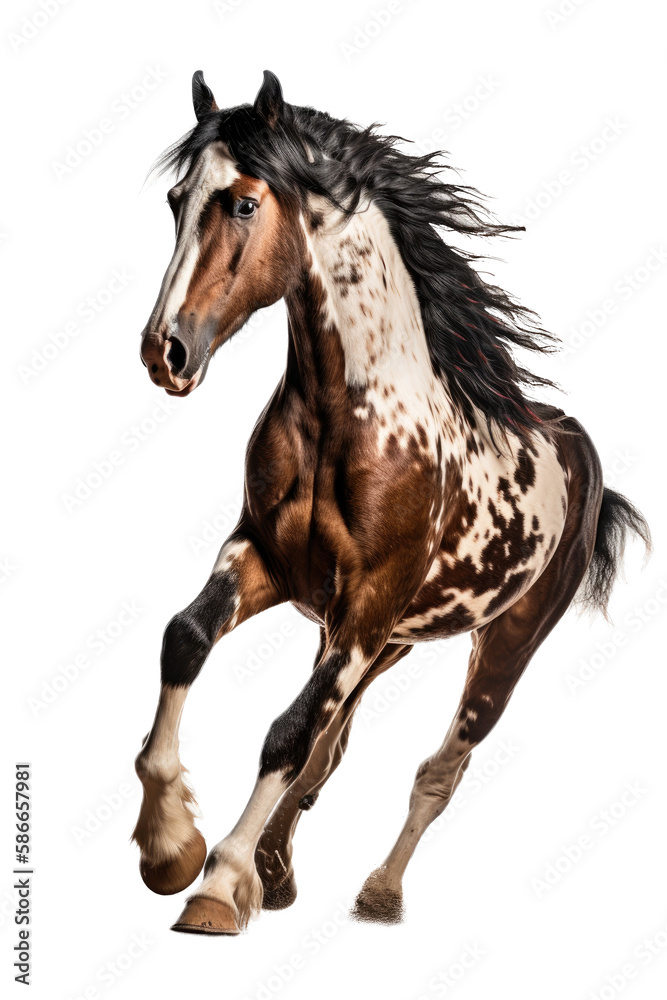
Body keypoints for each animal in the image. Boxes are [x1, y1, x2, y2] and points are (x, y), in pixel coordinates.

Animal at [133, 70, 650, 935]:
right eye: (176, 199)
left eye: (242, 202)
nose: (164, 353)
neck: (350, 417)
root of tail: (582, 459)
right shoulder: (267, 563)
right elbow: (186, 639)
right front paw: (169, 847)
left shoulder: (367, 603)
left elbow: (287, 734)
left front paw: (214, 884)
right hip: (382, 641)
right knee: (333, 747)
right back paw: (276, 873)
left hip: (494, 643)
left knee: (437, 770)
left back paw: (374, 892)